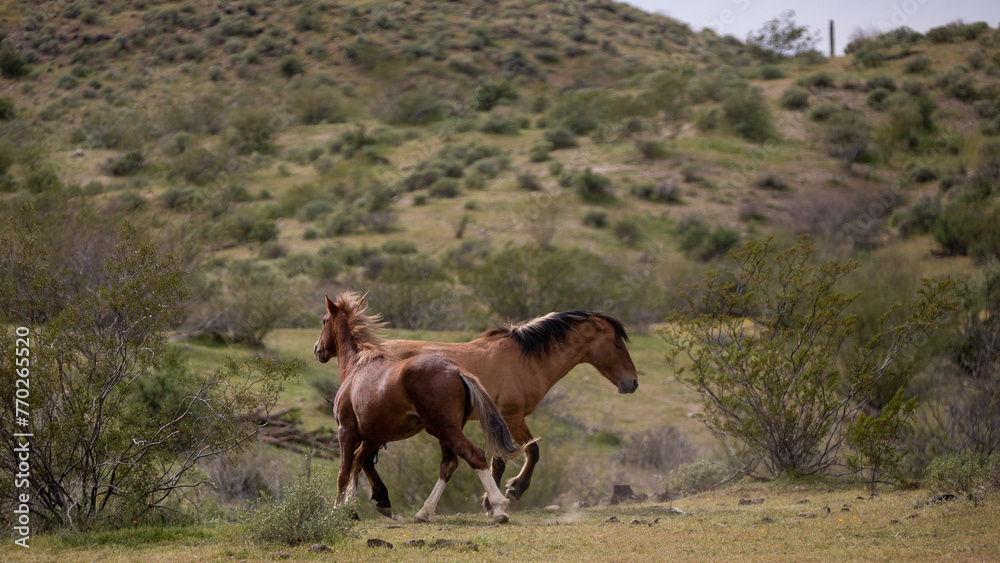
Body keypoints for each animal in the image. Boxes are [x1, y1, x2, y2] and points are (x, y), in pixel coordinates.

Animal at [313, 292, 534, 523]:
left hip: (443, 428)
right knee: (449, 464)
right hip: (446, 430)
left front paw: (336, 511)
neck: (357, 366)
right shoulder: (373, 437)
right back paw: (424, 512)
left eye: (324, 320)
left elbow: (344, 471)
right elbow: (358, 463)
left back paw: (498, 509)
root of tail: (457, 370)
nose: (317, 349)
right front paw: (352, 509)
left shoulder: (346, 430)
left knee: (474, 455)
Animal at [356, 310, 638, 516]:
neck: (523, 360)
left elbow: (530, 451)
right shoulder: (508, 417)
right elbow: (504, 458)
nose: (632, 382)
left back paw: (381, 501)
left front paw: (508, 494)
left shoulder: (516, 418)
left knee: (364, 457)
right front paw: (502, 498)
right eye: (617, 345)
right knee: (363, 457)